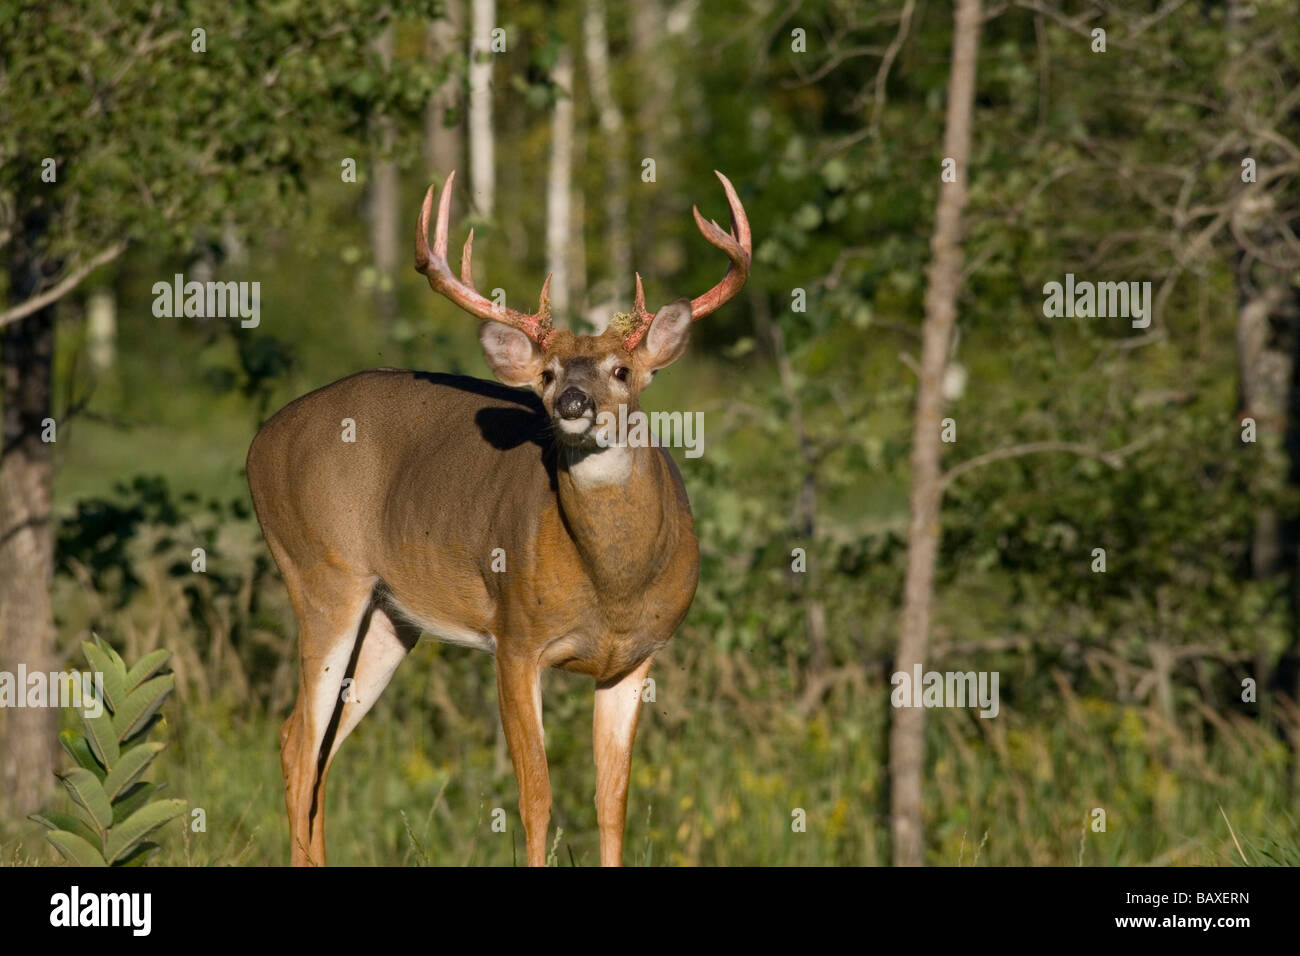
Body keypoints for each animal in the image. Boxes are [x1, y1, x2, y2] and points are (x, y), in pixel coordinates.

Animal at [245, 169, 750, 867]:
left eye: (622, 370)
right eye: (548, 373)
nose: (573, 402)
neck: (612, 585)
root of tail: (258, 444)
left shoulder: (635, 660)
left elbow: (612, 803)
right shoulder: (515, 638)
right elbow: (536, 799)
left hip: (391, 618)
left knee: (320, 750)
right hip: (322, 575)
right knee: (298, 742)